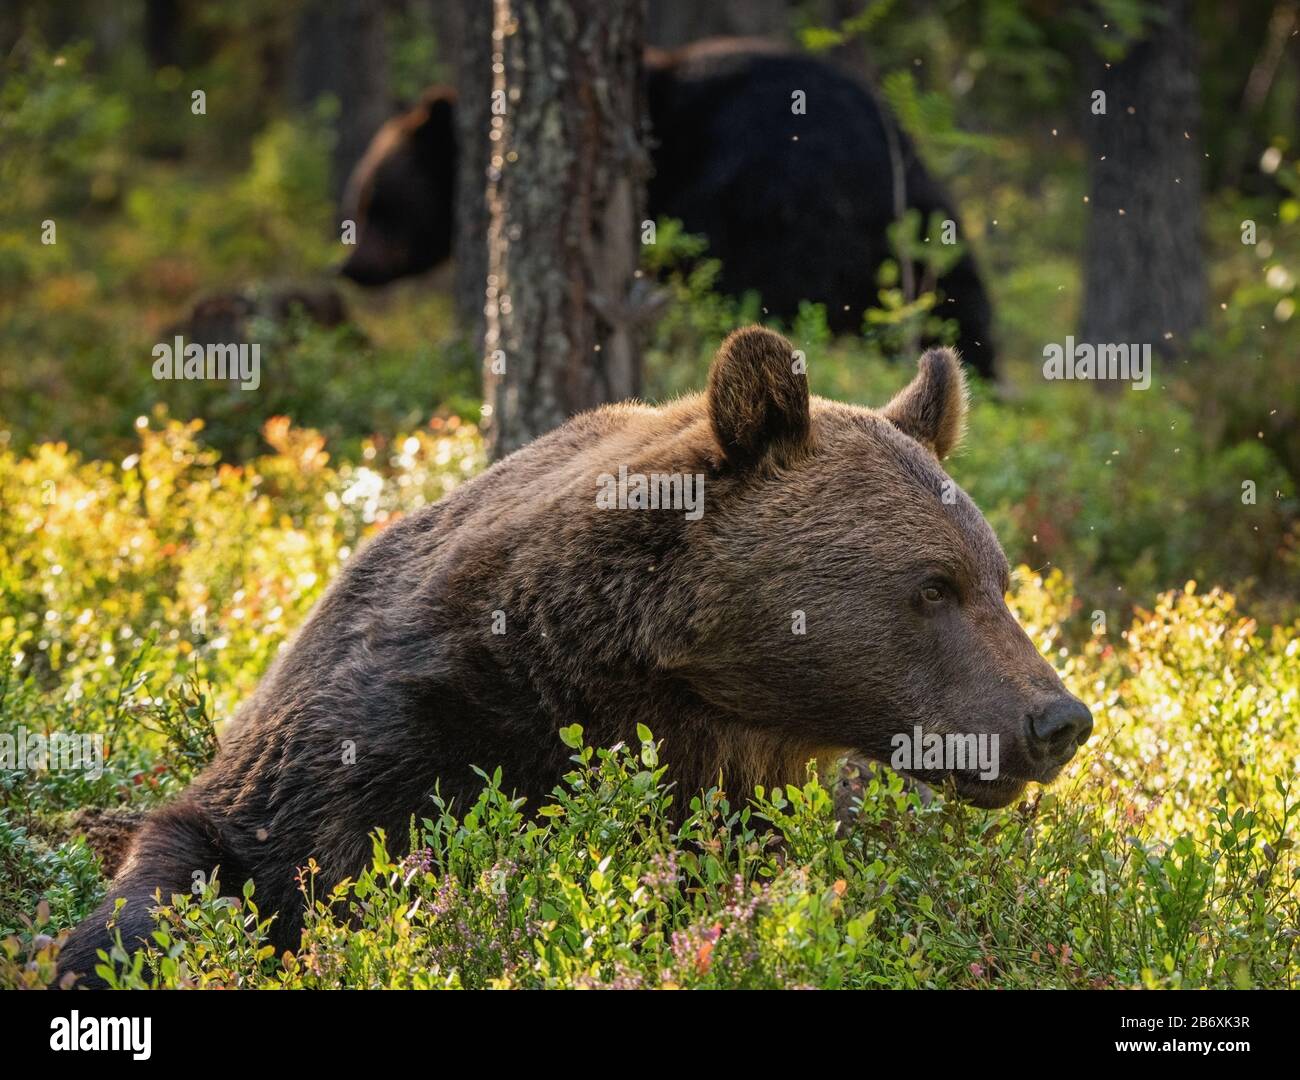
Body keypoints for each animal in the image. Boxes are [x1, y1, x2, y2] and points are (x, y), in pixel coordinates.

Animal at [57, 326, 1088, 986]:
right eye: (933, 586)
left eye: (999, 578)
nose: (1059, 718)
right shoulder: (380, 738)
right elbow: (216, 851)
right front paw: (101, 953)